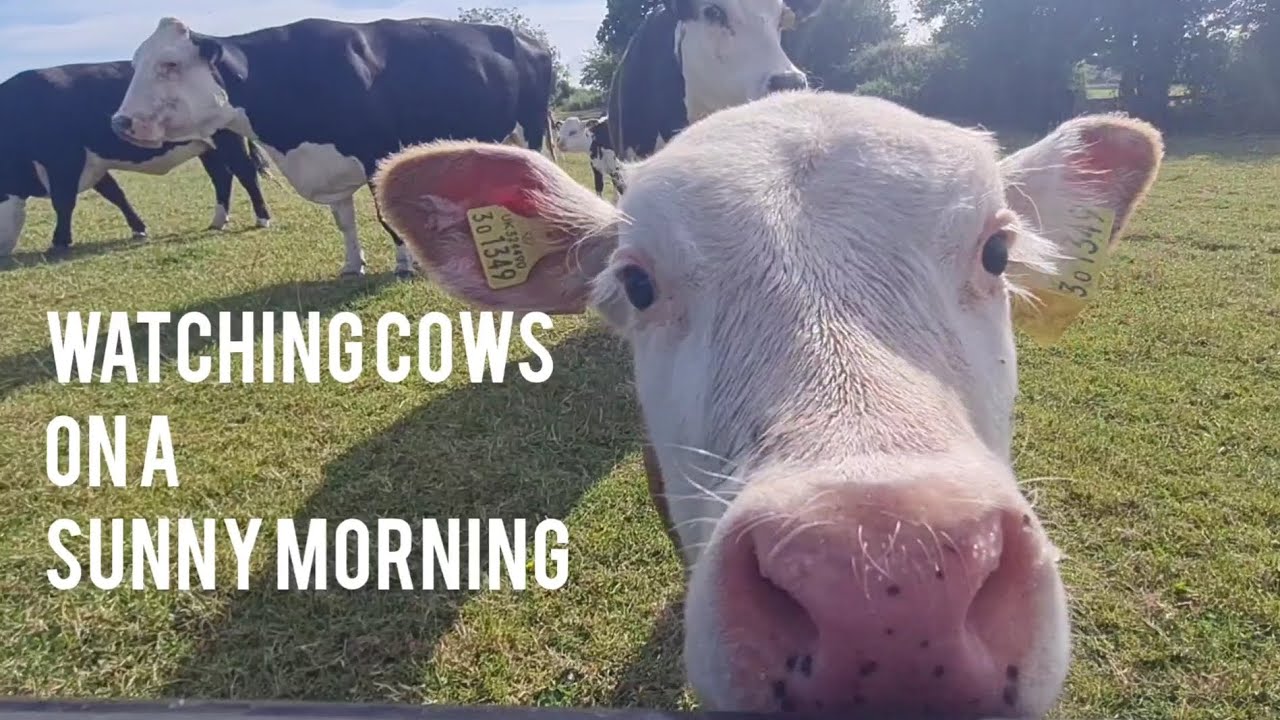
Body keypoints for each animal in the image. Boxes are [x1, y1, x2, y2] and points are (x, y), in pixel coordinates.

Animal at [0, 61, 273, 260]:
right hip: (208, 148)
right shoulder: (94, 164)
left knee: (245, 173)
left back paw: (262, 218)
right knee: (222, 177)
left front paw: (59, 242)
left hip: (227, 138)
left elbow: (63, 202)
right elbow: (115, 194)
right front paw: (139, 228)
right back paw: (217, 221)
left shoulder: (64, 161)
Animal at [110, 16, 560, 279]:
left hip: (532, 129)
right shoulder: (330, 167)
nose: (120, 122)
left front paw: (405, 265)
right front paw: (352, 265)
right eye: (134, 65)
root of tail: (528, 38)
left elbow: (386, 218)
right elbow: (344, 221)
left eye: (169, 64)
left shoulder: (378, 153)